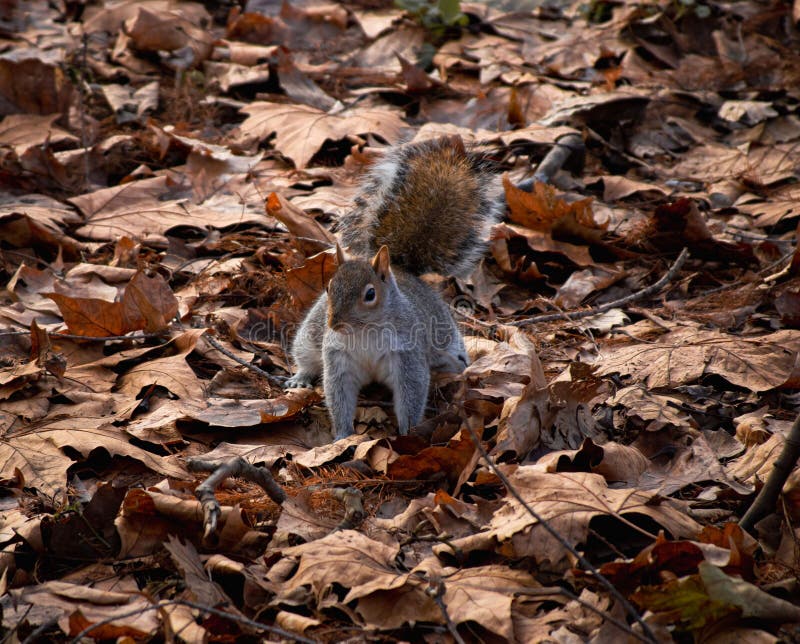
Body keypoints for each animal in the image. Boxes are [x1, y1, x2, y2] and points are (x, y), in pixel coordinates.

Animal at [284, 135, 504, 440]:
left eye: (370, 294)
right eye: (329, 287)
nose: (335, 323)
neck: (364, 332)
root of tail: (400, 270)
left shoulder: (407, 356)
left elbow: (411, 392)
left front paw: (407, 434)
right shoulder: (338, 358)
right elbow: (339, 395)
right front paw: (342, 436)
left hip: (445, 339)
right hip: (310, 336)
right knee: (306, 357)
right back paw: (300, 377)